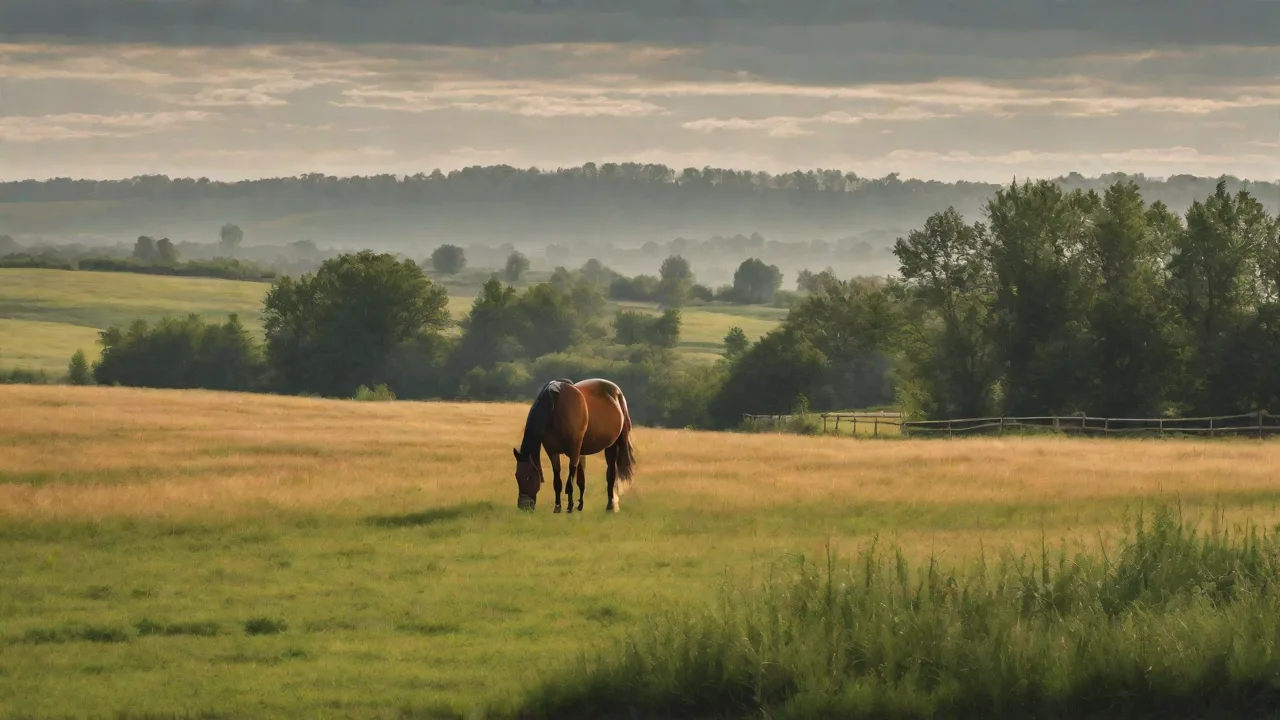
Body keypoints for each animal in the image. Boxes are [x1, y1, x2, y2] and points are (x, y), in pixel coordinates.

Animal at [512, 377, 636, 513]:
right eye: (517, 476)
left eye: (528, 477)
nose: (523, 506)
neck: (555, 407)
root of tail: (617, 392)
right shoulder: (552, 451)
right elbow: (558, 480)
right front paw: (557, 507)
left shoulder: (574, 450)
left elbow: (570, 481)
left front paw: (569, 506)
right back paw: (581, 505)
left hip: (611, 446)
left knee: (611, 475)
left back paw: (609, 506)